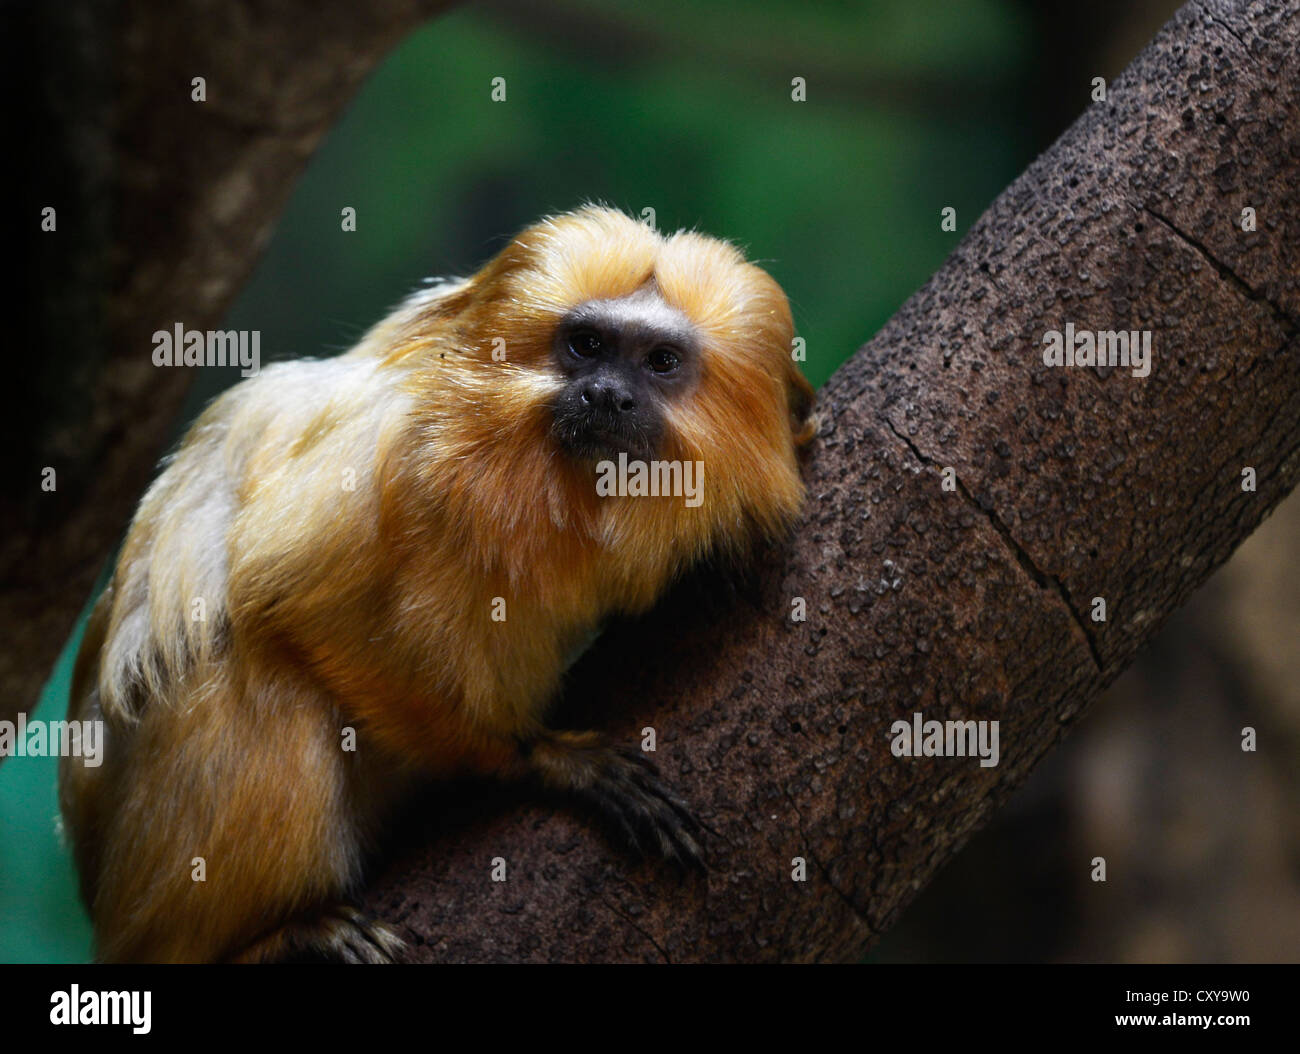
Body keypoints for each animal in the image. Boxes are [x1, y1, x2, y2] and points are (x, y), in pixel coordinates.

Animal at [59, 205, 816, 963]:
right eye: (586, 345)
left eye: (660, 362)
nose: (606, 394)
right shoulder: (394, 452)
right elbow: (286, 597)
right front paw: (539, 760)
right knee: (247, 668)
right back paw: (275, 936)